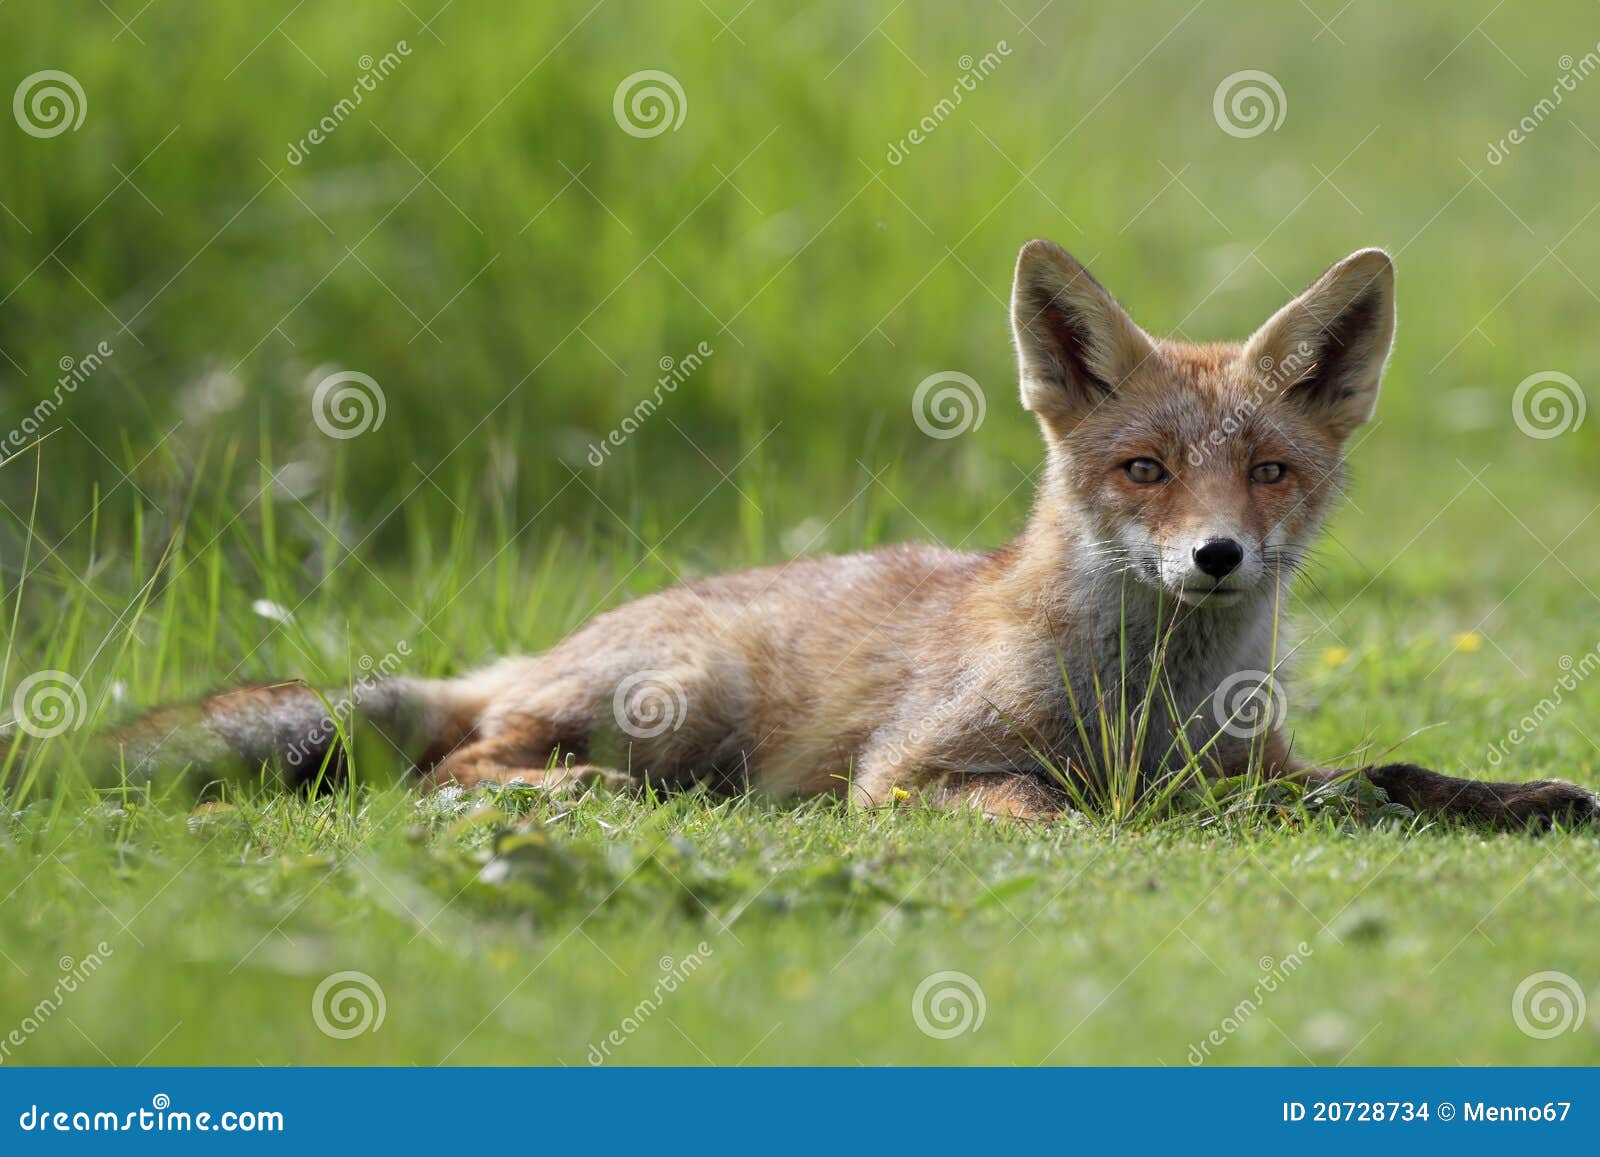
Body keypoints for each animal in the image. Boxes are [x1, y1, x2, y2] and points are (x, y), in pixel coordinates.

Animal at [100, 240, 1599, 830]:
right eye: (1147, 469)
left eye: (1271, 472)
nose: (1214, 558)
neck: (1148, 708)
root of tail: (547, 644)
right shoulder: (914, 771)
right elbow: (1044, 803)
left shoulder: (1268, 764)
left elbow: (1396, 775)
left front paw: (1526, 799)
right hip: (676, 695)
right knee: (454, 761)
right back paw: (578, 792)